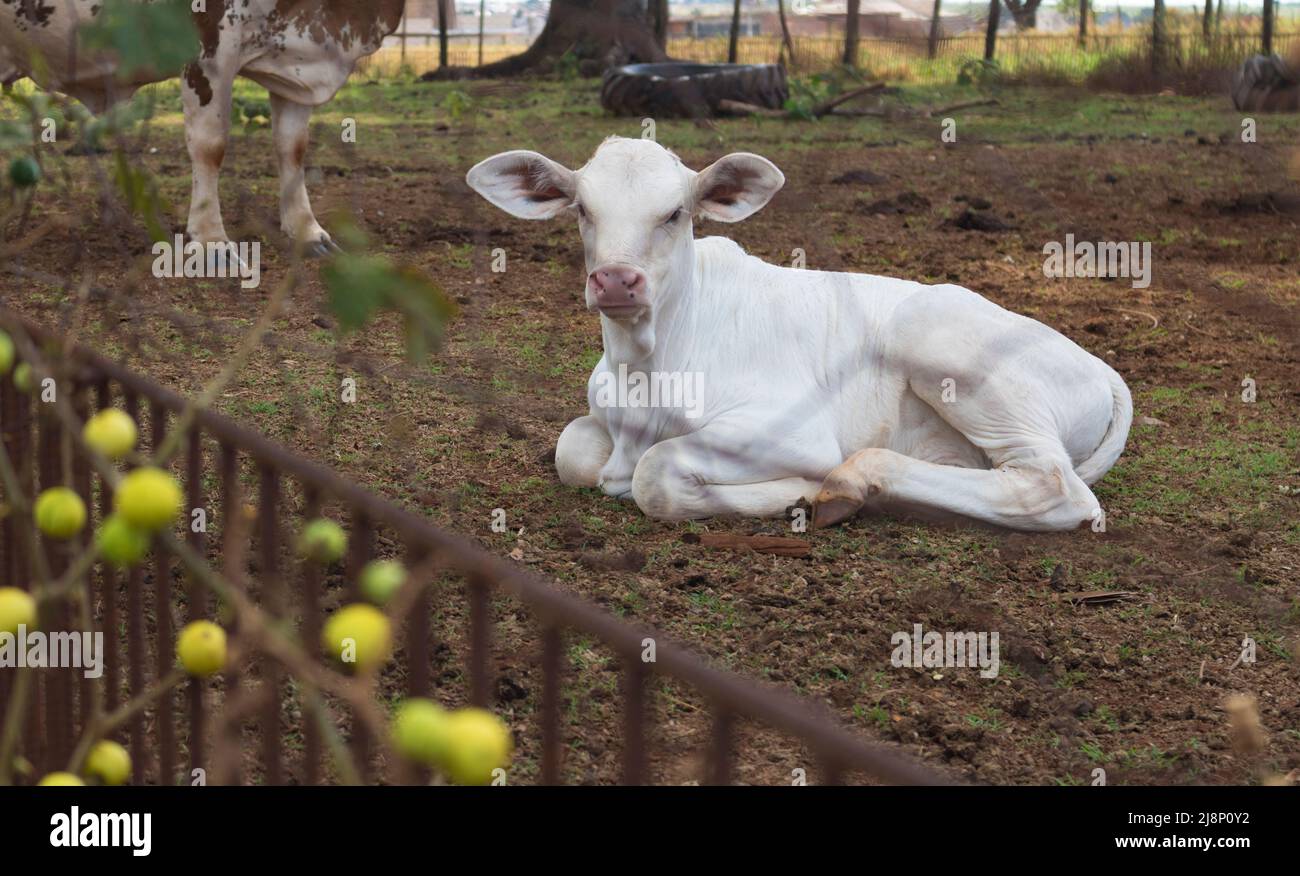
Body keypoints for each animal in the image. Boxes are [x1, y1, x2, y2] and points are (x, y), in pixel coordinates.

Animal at [0, 1, 405, 254]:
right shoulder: (209, 45)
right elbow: (210, 146)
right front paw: (211, 240)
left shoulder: (297, 64)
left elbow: (293, 147)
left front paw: (307, 231)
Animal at [466, 137, 1133, 532]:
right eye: (582, 210)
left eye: (675, 213)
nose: (615, 280)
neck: (648, 370)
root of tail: (1101, 367)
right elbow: (572, 450)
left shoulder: (793, 429)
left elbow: (654, 474)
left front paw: (797, 494)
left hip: (942, 341)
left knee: (1052, 485)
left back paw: (849, 486)